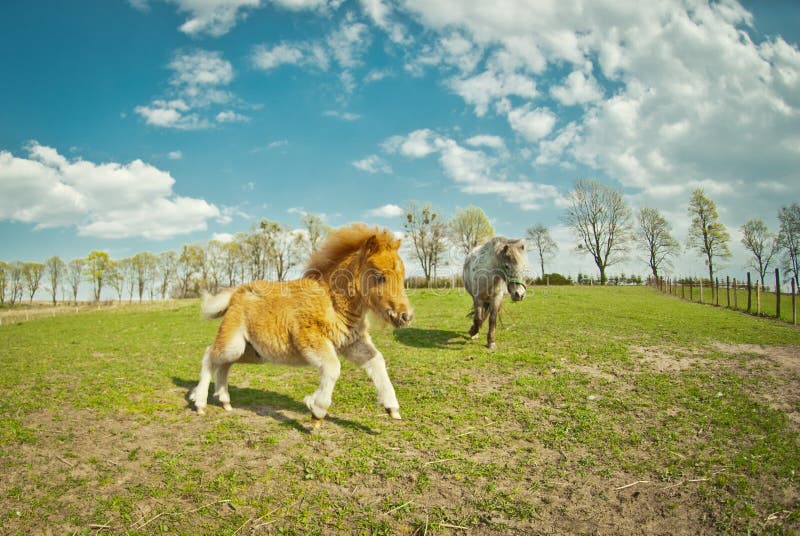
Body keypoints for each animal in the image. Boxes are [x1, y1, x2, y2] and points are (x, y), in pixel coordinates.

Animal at [189, 223, 414, 429]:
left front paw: (392, 408)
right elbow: (333, 368)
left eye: (403, 276)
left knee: (224, 365)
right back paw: (199, 402)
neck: (332, 302)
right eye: (379, 276)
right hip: (233, 344)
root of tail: (236, 294)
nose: (406, 316)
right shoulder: (310, 339)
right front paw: (316, 412)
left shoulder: (352, 342)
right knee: (209, 355)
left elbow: (376, 361)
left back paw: (224, 400)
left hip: (250, 351)